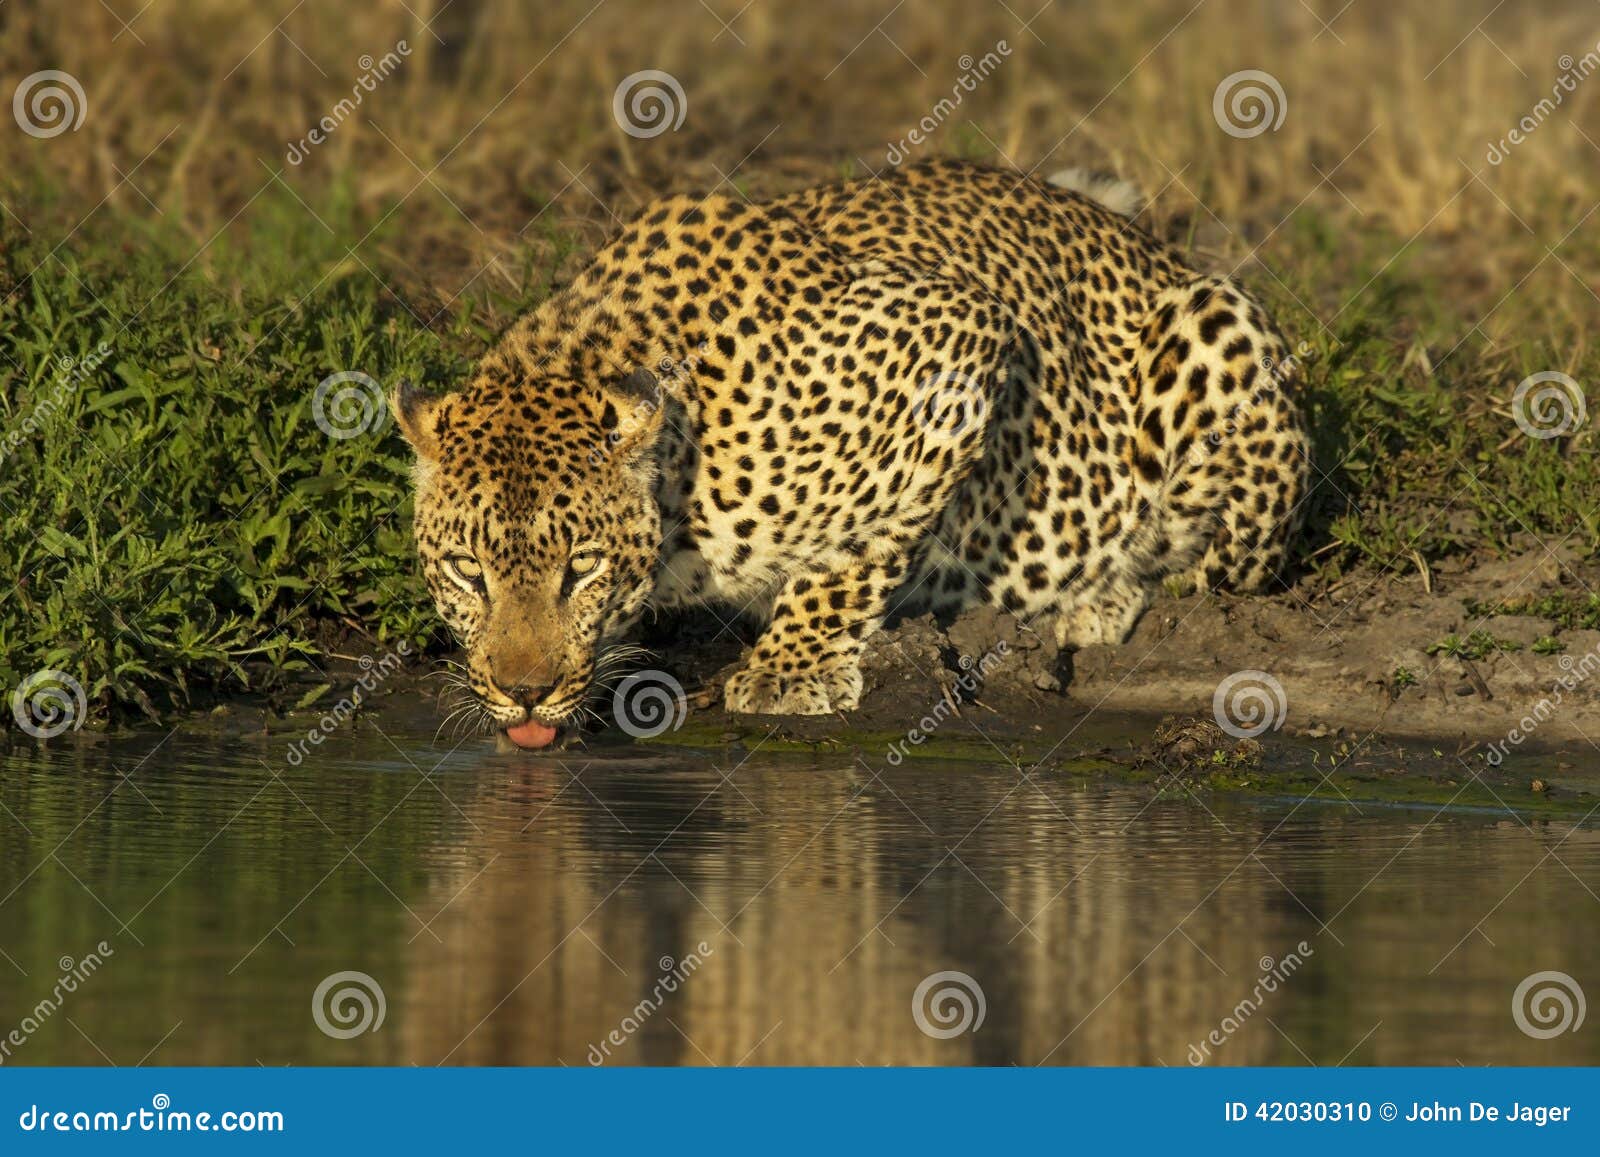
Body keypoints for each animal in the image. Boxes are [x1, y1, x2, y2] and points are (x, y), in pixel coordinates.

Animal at [390, 160, 1310, 747]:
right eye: (469, 572)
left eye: (580, 569)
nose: (525, 691)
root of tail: (1149, 242)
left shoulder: (956, 341)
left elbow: (853, 555)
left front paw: (791, 669)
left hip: (1217, 323)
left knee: (1210, 564)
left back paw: (1098, 599)